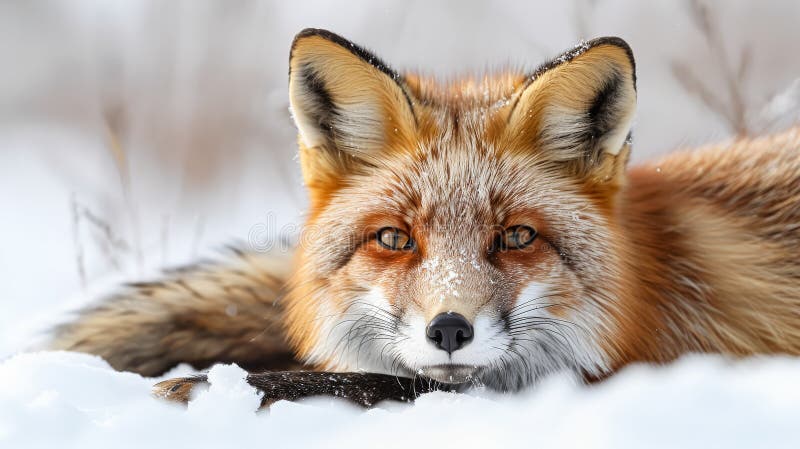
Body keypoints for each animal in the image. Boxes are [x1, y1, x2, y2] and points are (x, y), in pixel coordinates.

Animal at [50, 28, 800, 407]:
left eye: (516, 237)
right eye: (394, 238)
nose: (449, 329)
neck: (656, 280)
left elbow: (363, 382)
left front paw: (193, 386)